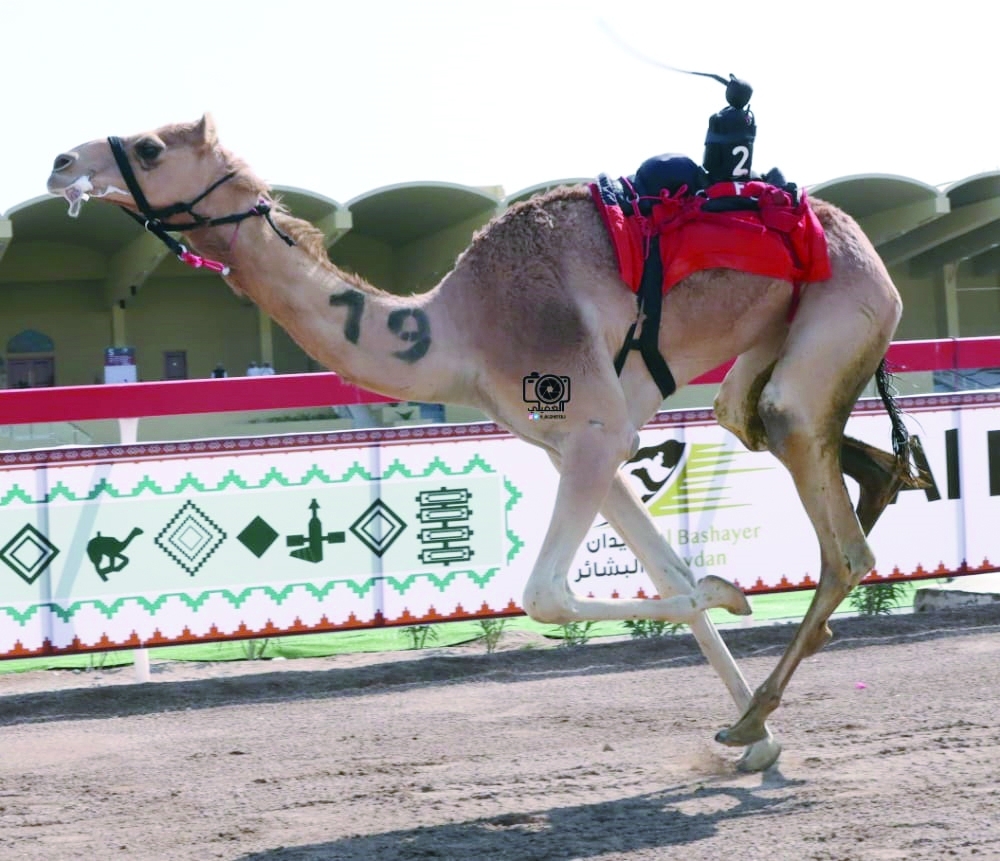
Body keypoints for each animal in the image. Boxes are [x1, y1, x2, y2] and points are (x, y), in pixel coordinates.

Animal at [47, 115, 922, 772]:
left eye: (150, 147)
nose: (60, 162)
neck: (451, 332)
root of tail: (867, 245)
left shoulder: (596, 426)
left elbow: (545, 594)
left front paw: (733, 604)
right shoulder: (573, 443)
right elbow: (665, 576)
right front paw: (753, 733)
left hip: (843, 311)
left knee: (832, 518)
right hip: (771, 354)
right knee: (777, 427)